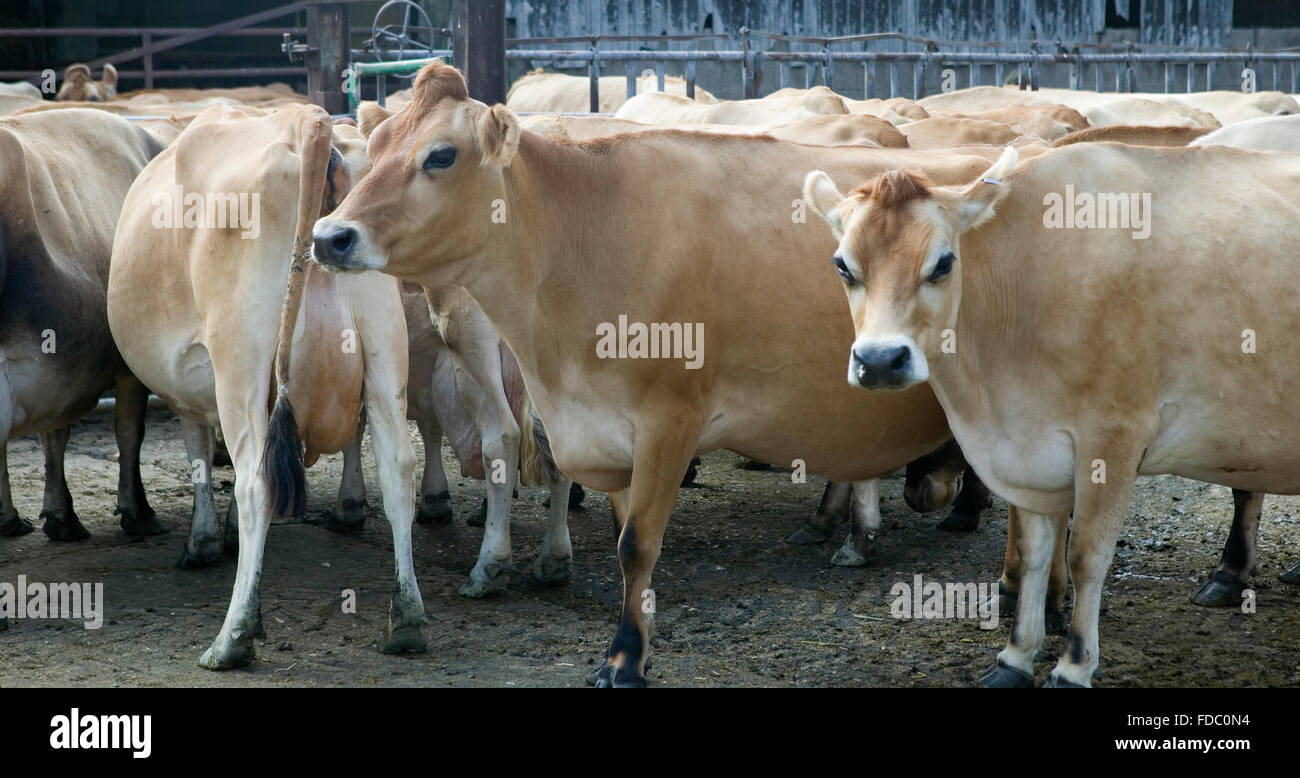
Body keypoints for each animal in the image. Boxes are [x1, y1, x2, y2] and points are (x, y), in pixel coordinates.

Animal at [0, 108, 162, 546]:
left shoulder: (61, 369)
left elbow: (54, 436)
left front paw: (58, 516)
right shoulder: (125, 366)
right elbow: (129, 430)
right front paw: (137, 510)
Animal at [108, 103, 427, 670]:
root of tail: (306, 118)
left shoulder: (198, 387)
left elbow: (200, 456)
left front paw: (204, 543)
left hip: (243, 359)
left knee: (256, 483)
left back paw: (232, 638)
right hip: (385, 346)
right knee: (398, 471)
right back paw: (406, 621)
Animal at [309, 63, 1021, 686]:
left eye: (441, 156)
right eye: (374, 145)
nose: (328, 235)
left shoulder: (670, 420)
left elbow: (636, 546)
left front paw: (622, 661)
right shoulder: (608, 429)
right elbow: (629, 538)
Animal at [802, 141, 1300, 686]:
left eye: (943, 263)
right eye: (842, 265)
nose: (878, 360)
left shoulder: (1114, 436)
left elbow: (1086, 555)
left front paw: (1073, 665)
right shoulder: (1028, 450)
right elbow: (1034, 553)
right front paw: (1015, 657)